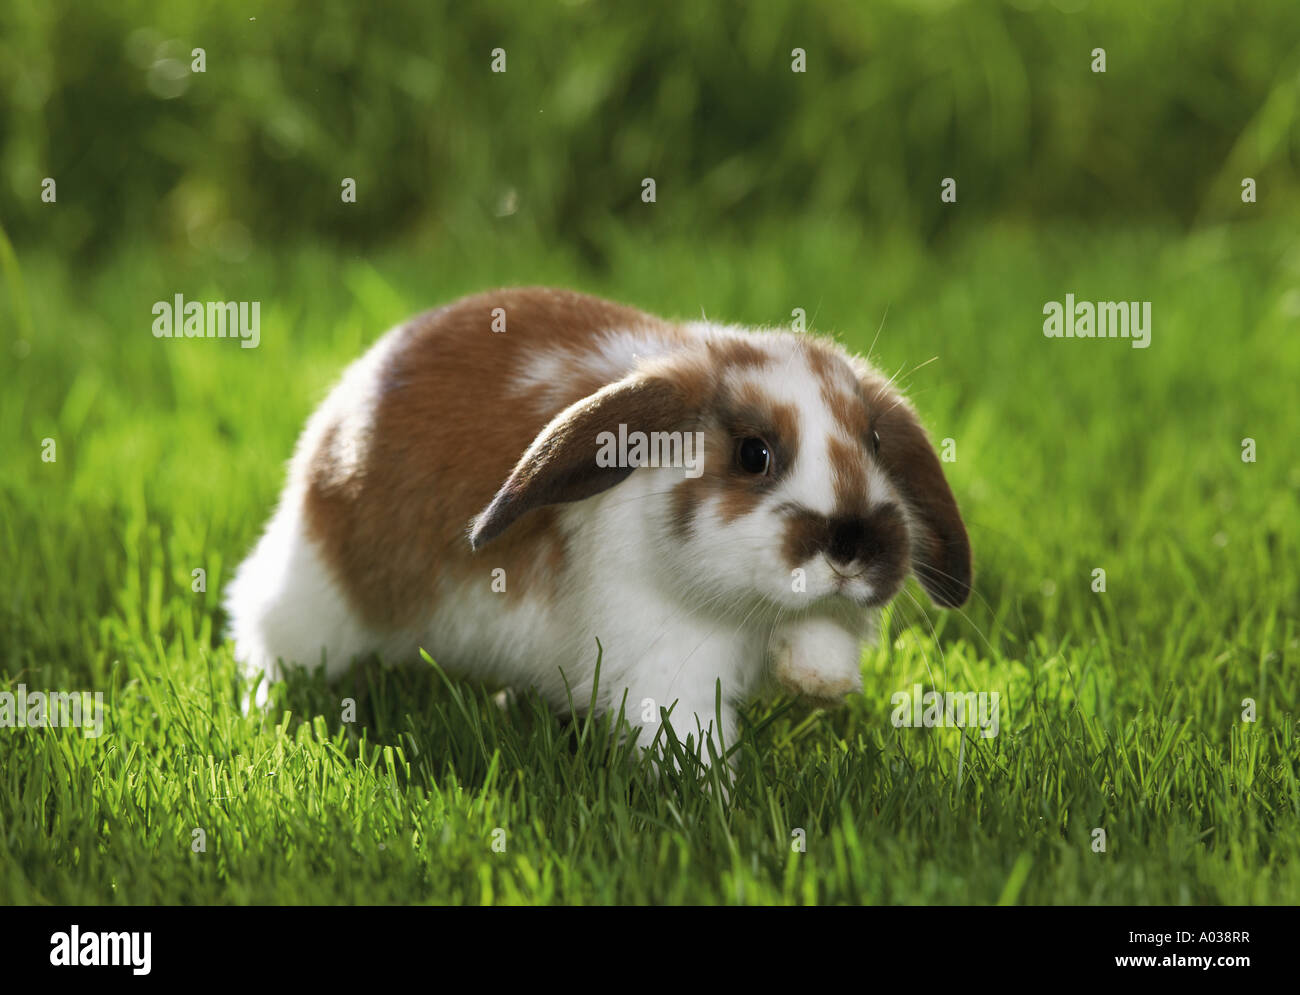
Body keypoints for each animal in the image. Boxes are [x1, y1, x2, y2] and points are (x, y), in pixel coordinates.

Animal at [225, 287, 970, 762]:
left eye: (875, 441)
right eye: (753, 454)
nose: (851, 543)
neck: (746, 612)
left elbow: (821, 634)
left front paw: (818, 680)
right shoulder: (667, 669)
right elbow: (686, 738)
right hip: (311, 591)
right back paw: (268, 697)